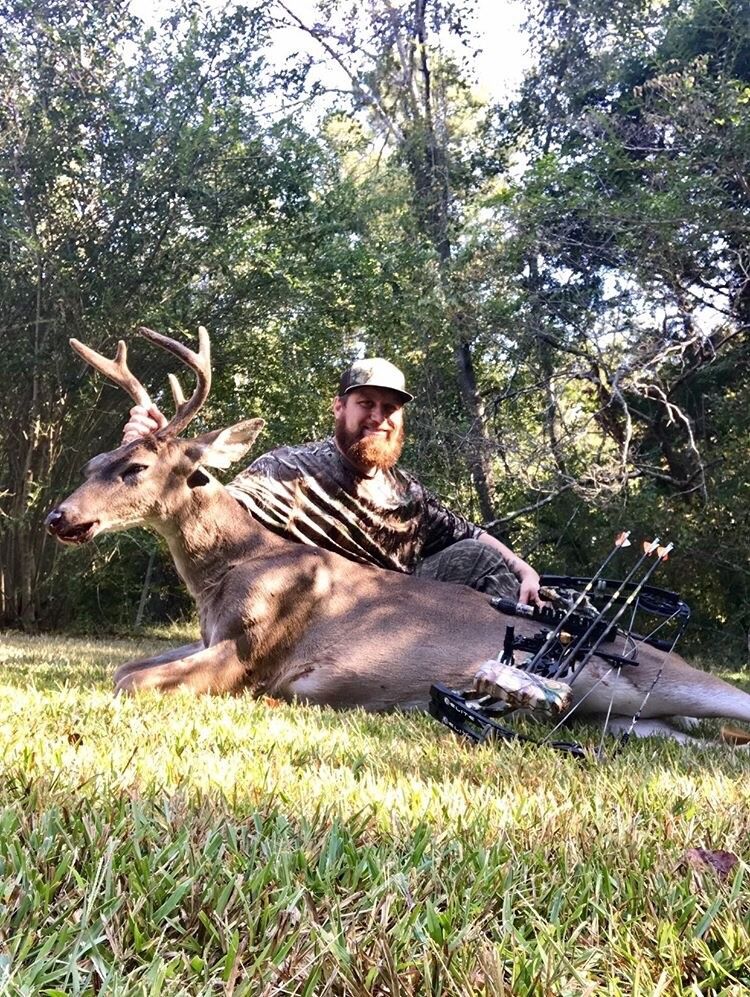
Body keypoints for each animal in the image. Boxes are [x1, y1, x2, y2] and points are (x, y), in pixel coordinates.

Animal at [45, 326, 750, 746]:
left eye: (135, 467)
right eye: (92, 463)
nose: (60, 517)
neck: (235, 569)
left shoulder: (253, 654)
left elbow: (127, 681)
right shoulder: (212, 641)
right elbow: (124, 666)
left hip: (666, 672)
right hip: (623, 715)